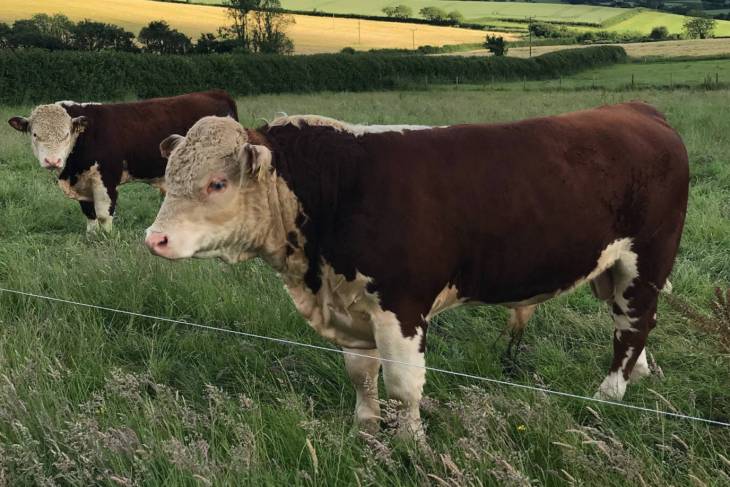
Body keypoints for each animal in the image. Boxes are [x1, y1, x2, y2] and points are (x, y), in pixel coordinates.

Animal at [8, 90, 238, 233]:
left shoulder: (106, 180)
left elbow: (103, 214)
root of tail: (216, 93)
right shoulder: (83, 182)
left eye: (65, 134)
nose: (52, 160)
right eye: (35, 134)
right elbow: (89, 214)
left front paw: (107, 239)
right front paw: (91, 236)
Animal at [144, 103, 689, 438]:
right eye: (168, 176)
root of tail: (637, 110)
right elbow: (361, 374)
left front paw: (411, 444)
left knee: (632, 323)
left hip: (648, 256)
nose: (155, 238)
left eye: (217, 183)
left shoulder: (401, 306)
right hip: (610, 266)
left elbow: (403, 385)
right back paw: (641, 374)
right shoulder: (352, 305)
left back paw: (608, 395)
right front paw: (363, 430)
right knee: (632, 321)